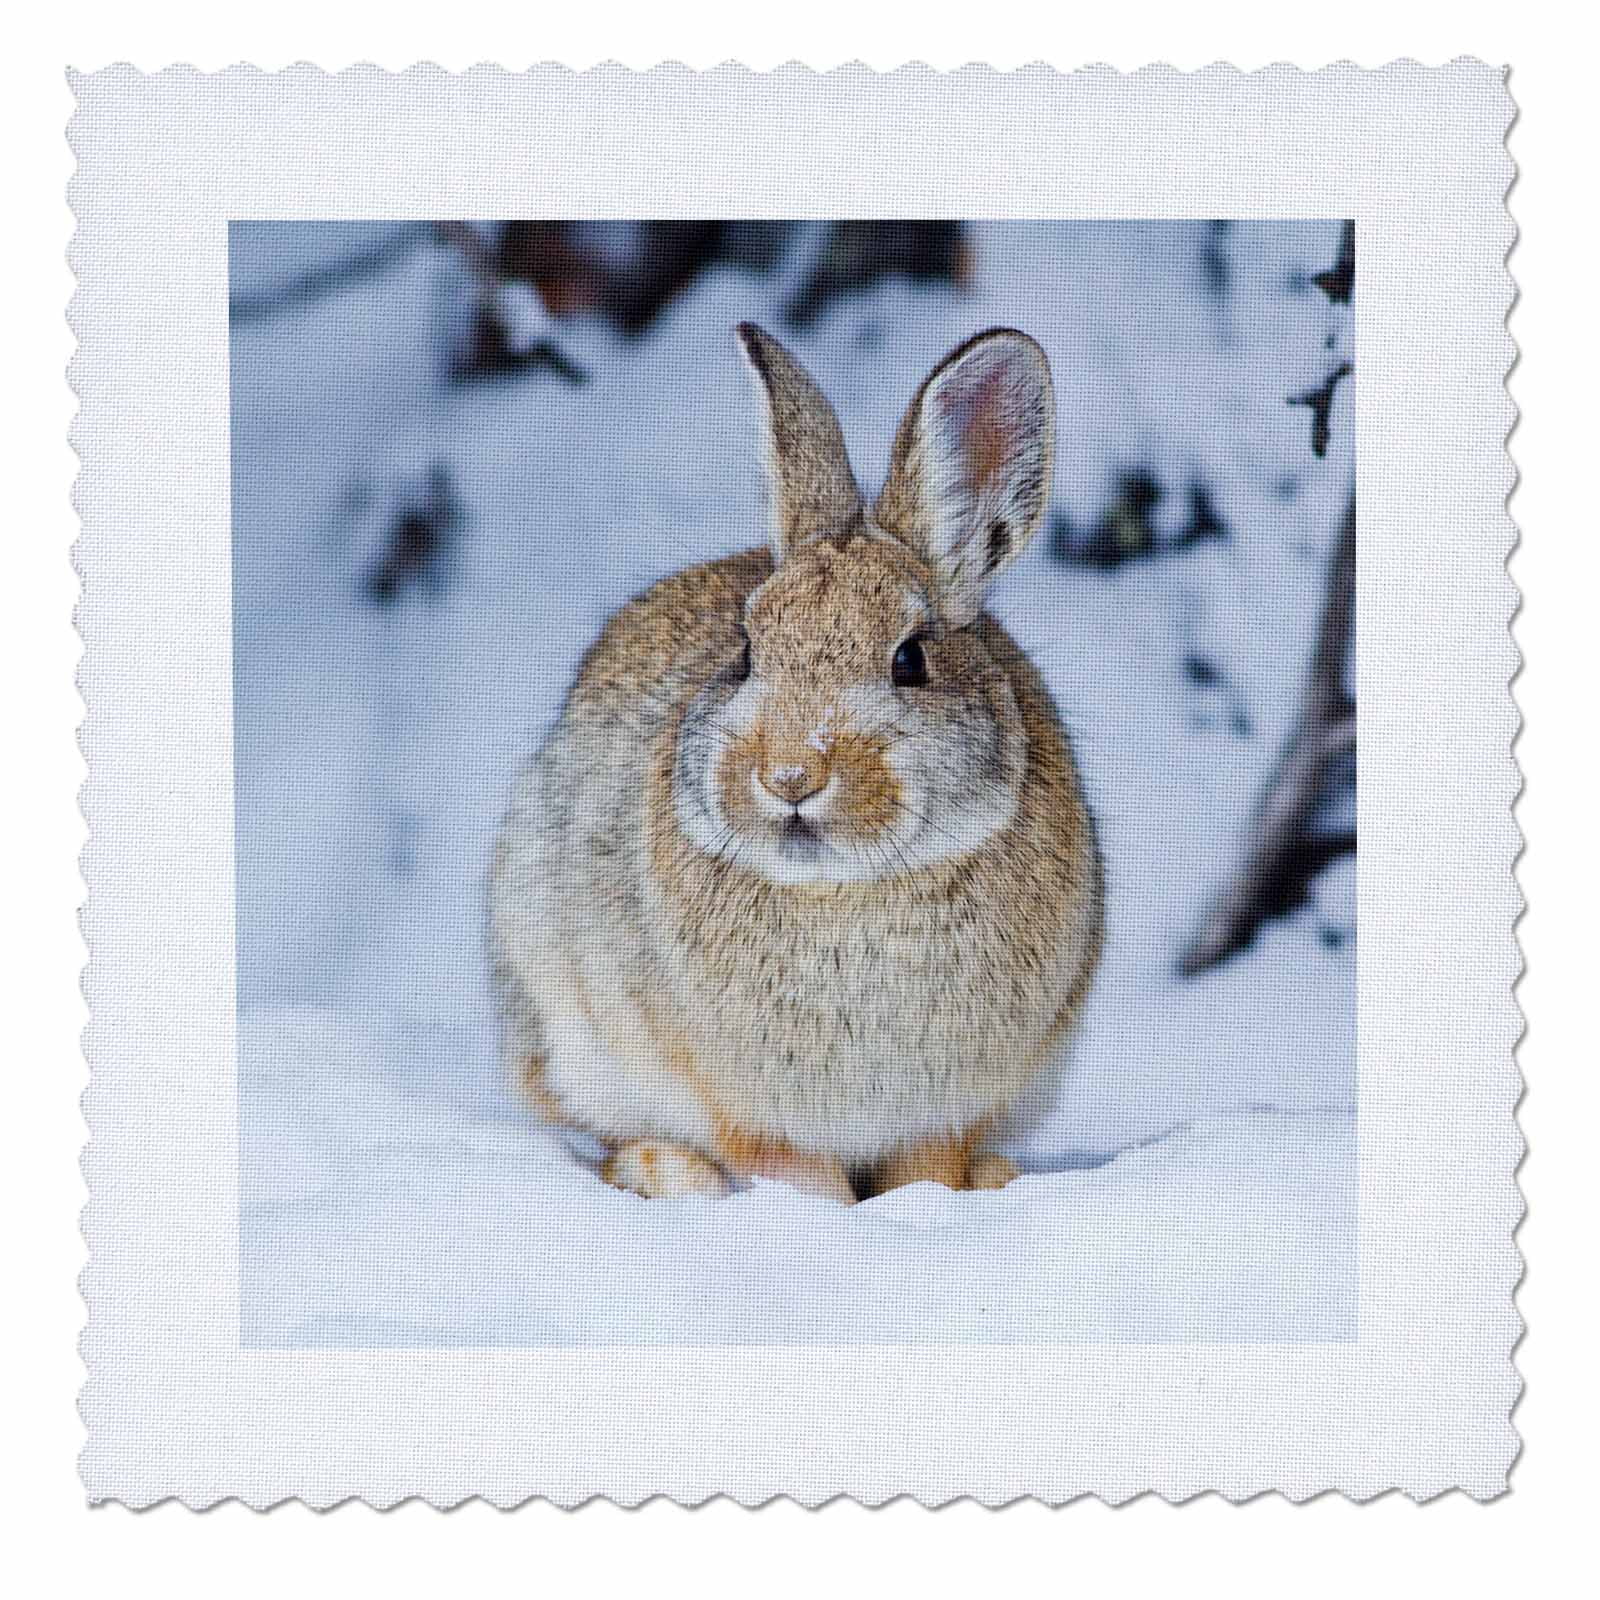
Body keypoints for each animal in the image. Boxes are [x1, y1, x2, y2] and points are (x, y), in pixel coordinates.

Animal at [489, 323, 1103, 1204]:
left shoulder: (944, 1113)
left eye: (910, 661)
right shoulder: (748, 1110)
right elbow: (795, 1175)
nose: (788, 777)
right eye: (747, 653)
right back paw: (669, 1173)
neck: (852, 889)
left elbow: (927, 1170)